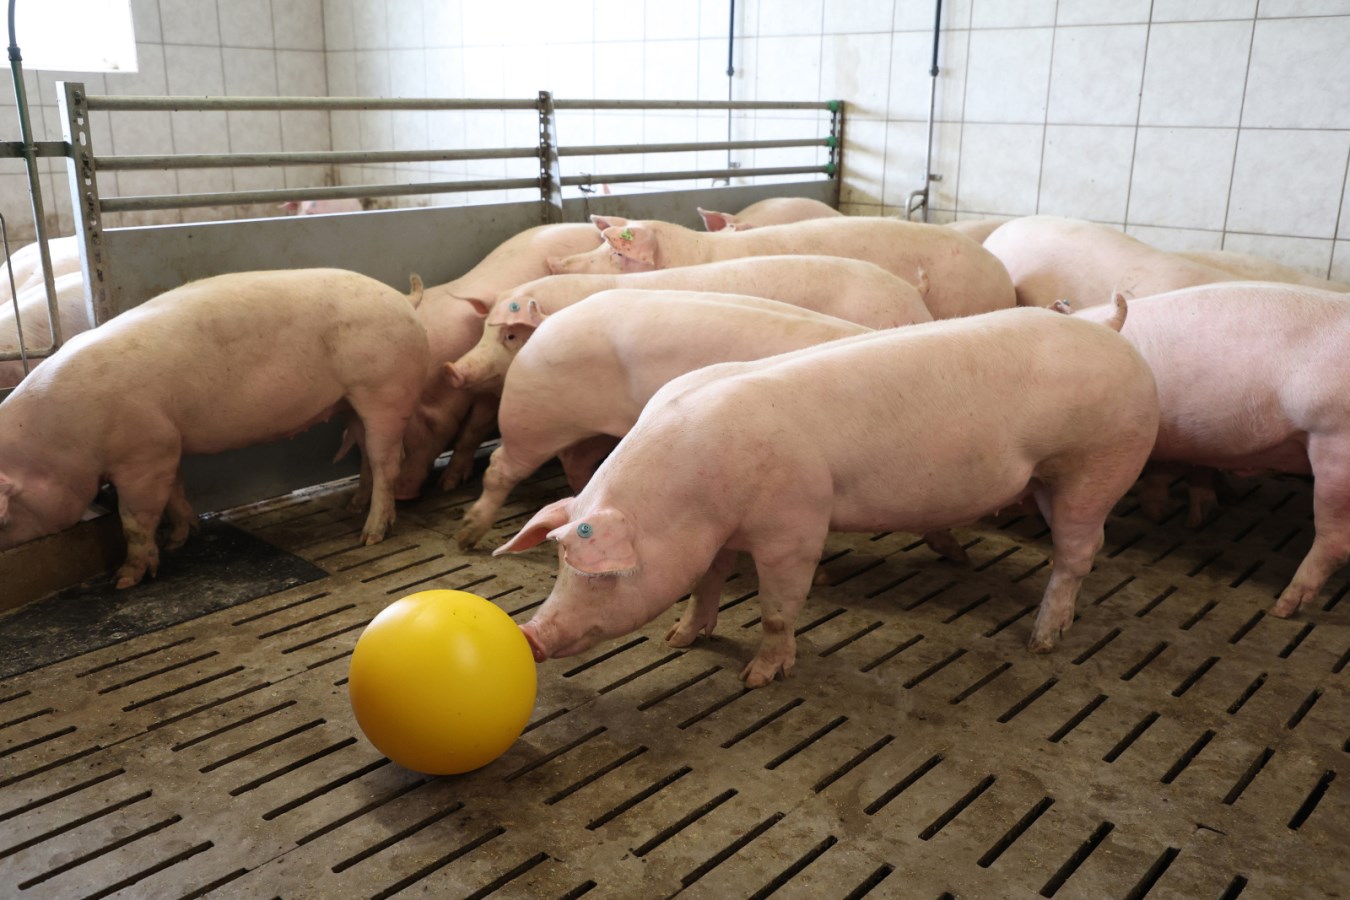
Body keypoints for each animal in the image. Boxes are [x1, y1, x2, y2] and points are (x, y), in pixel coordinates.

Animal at [0, 268, 429, 588]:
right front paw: (178, 540)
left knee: (387, 461)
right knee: (368, 453)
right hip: (353, 402)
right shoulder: (168, 445)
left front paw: (125, 581)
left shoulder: (144, 454)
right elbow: (176, 492)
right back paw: (353, 505)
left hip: (385, 390)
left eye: (4, 516)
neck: (64, 441)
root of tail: (404, 301)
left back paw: (370, 535)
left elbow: (135, 519)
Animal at [497, 297, 1157, 683]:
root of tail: (1112, 330)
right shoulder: (723, 534)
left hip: (1099, 462)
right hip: (1053, 475)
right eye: (559, 564)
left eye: (596, 574)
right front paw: (680, 637)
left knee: (1079, 552)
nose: (528, 635)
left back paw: (1042, 642)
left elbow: (776, 611)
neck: (696, 493)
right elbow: (706, 584)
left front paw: (758, 677)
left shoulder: (795, 526)